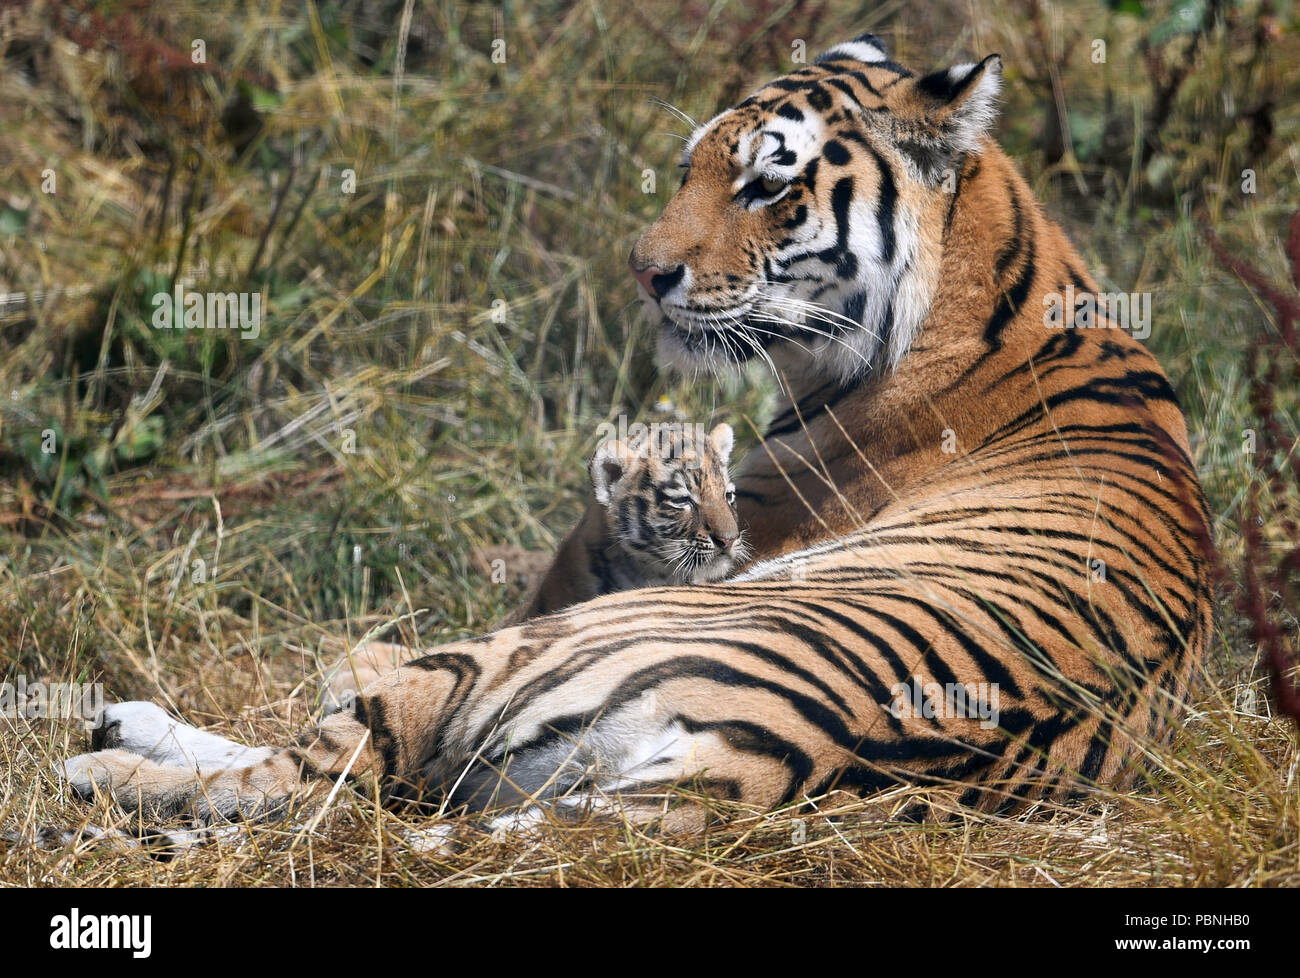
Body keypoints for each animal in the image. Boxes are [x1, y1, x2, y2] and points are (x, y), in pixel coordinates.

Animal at [59, 33, 1213, 833]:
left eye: (768, 182)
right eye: (691, 167)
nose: (643, 270)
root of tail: (753, 767)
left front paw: (346, 654)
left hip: (520, 655)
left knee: (309, 770)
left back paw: (107, 756)